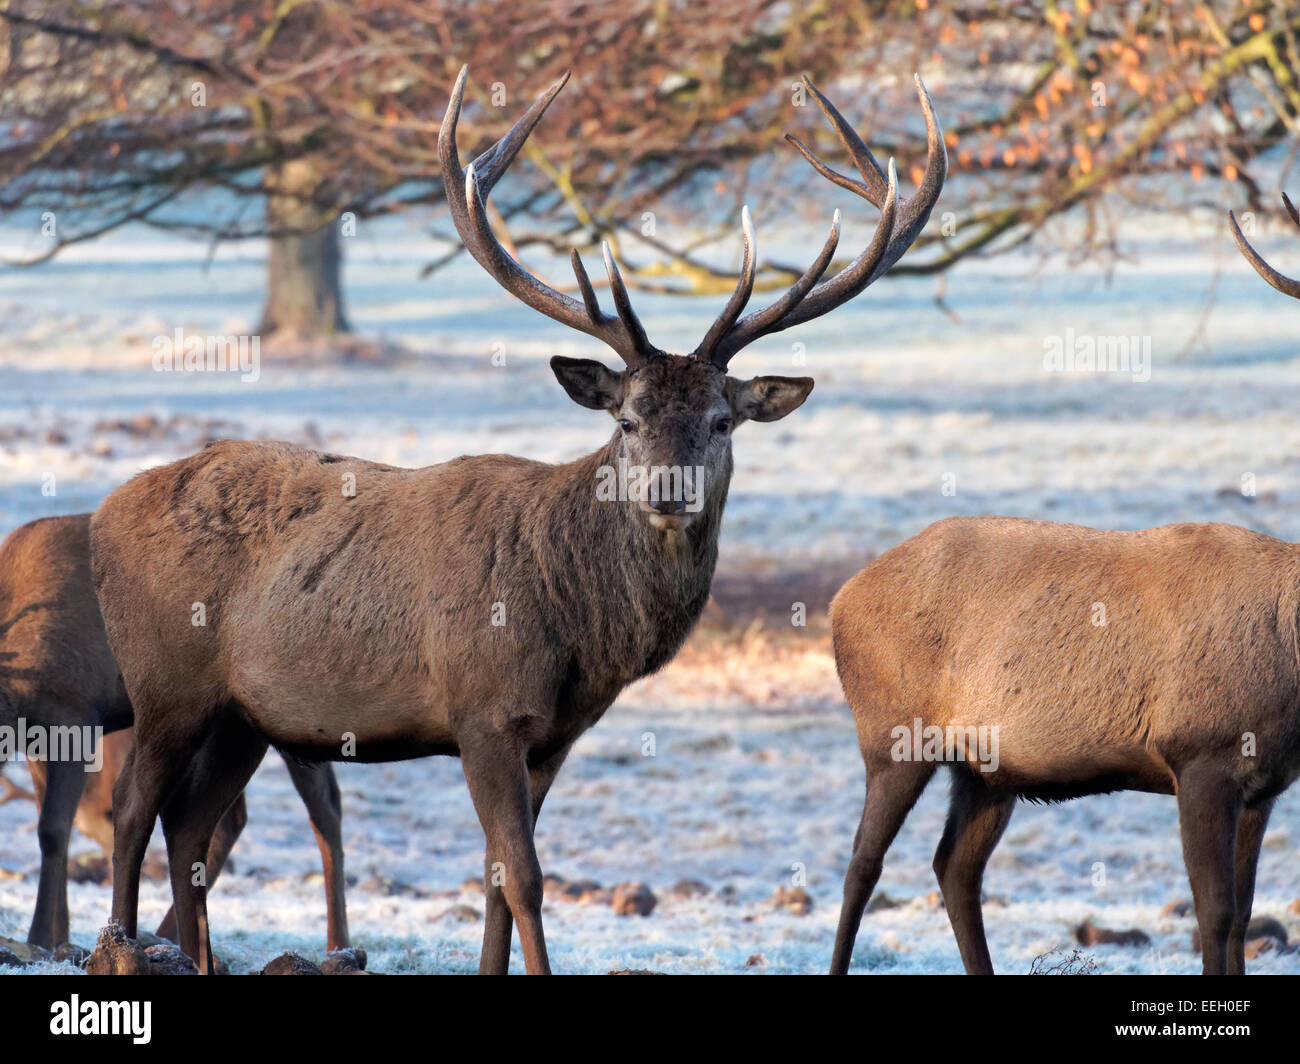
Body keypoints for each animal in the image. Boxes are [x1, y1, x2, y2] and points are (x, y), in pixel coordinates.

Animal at [0, 513, 350, 953]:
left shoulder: (75, 714)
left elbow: (51, 830)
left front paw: (41, 938)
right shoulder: (36, 740)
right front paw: (61, 935)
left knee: (323, 808)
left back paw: (337, 943)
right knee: (232, 818)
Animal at [86, 66, 945, 974]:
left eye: (722, 420)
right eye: (628, 419)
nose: (669, 491)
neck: (576, 628)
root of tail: (103, 515)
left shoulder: (552, 736)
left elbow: (500, 878)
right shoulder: (483, 709)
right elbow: (524, 877)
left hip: (241, 714)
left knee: (190, 828)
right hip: (165, 683)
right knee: (135, 811)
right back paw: (121, 947)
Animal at [827, 194, 1300, 977]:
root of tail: (839, 601)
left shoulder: (1265, 782)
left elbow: (1240, 918)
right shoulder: (1200, 753)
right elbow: (1216, 915)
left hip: (986, 770)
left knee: (953, 866)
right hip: (890, 733)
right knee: (862, 863)